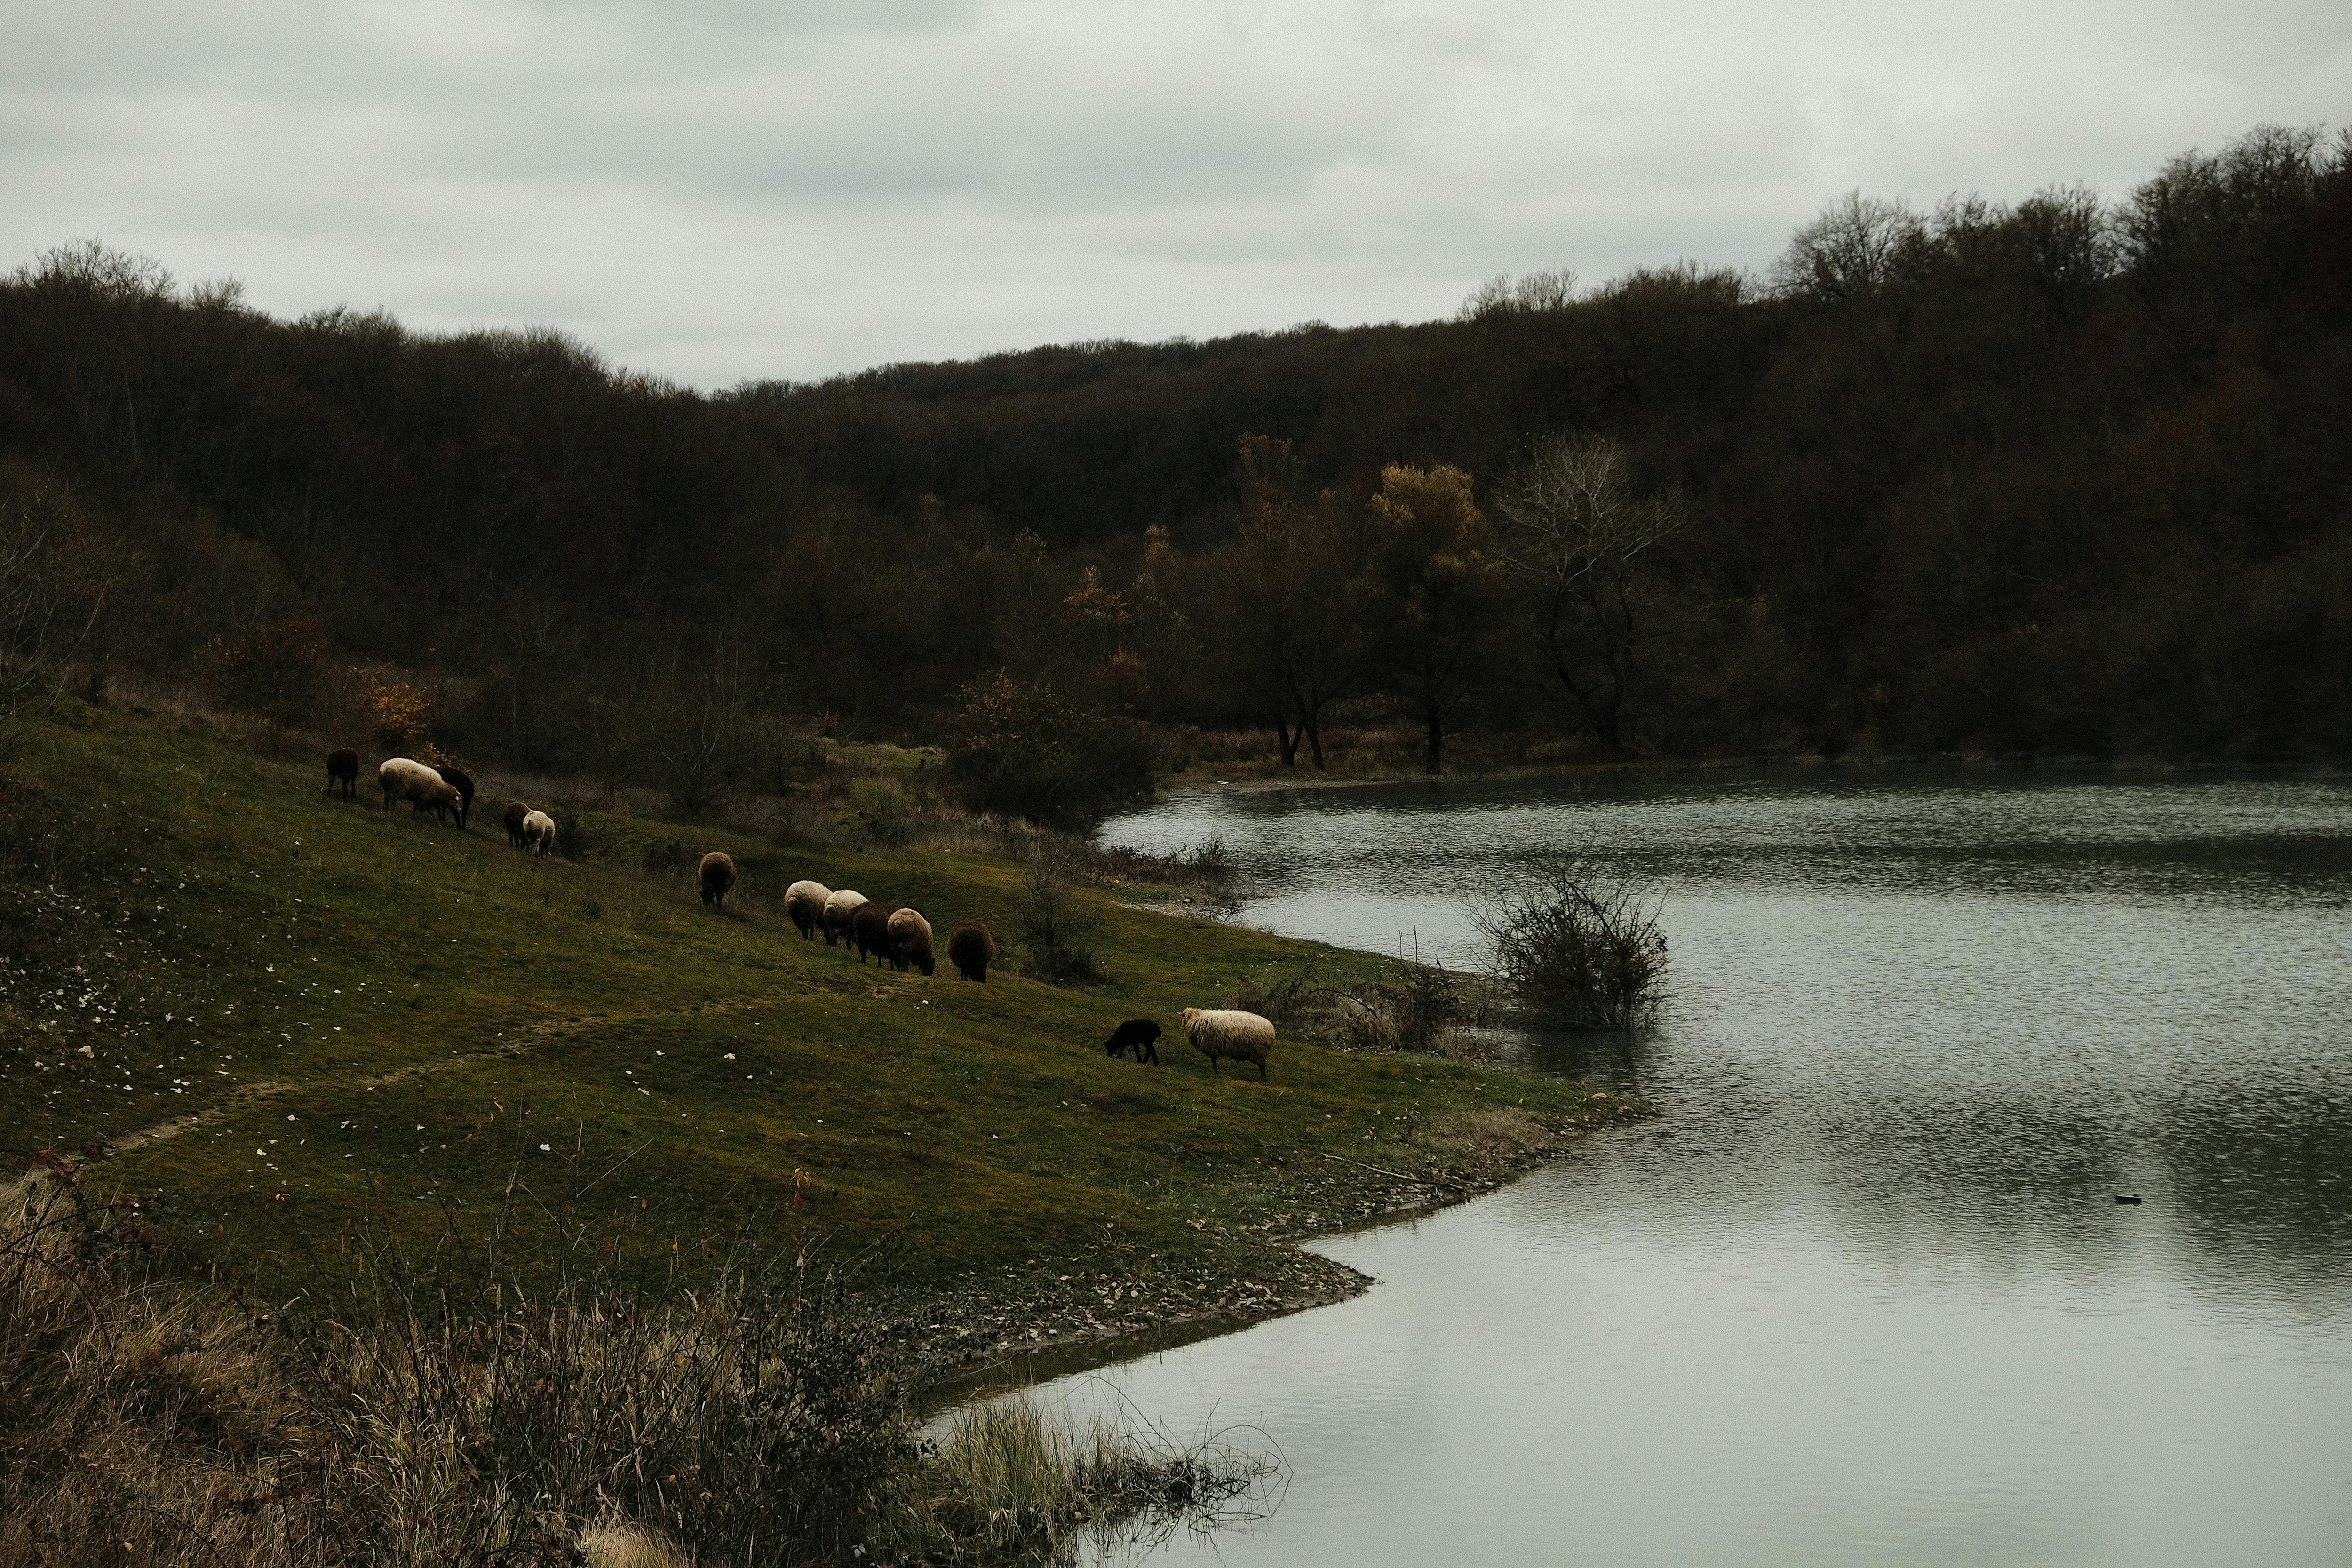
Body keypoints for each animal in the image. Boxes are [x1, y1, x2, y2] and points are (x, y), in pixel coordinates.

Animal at [379, 757, 459, 824]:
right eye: (456, 800)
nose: (459, 810)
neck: (440, 789)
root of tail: (384, 768)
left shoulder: (425, 800)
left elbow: (425, 810)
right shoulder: (423, 798)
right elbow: (418, 808)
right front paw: (415, 817)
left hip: (388, 787)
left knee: (387, 799)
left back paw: (387, 810)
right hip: (397, 788)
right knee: (393, 801)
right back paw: (393, 812)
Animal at [783, 880, 832, 940]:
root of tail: (794, 896)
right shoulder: (813, 916)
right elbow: (812, 929)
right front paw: (812, 939)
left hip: (795, 915)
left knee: (802, 927)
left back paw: (804, 938)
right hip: (808, 913)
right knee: (805, 927)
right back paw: (807, 938)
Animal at [888, 908, 935, 976]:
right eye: (931, 965)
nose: (929, 975)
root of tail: (898, 921)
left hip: (893, 940)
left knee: (896, 953)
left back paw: (899, 968)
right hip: (909, 940)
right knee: (904, 954)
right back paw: (903, 969)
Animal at [1180, 1007, 1275, 1079]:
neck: (1197, 1018)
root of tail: (1272, 1030)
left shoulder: (1211, 1046)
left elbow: (1214, 1061)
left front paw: (1215, 1072)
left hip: (1258, 1051)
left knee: (1262, 1065)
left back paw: (1264, 1079)